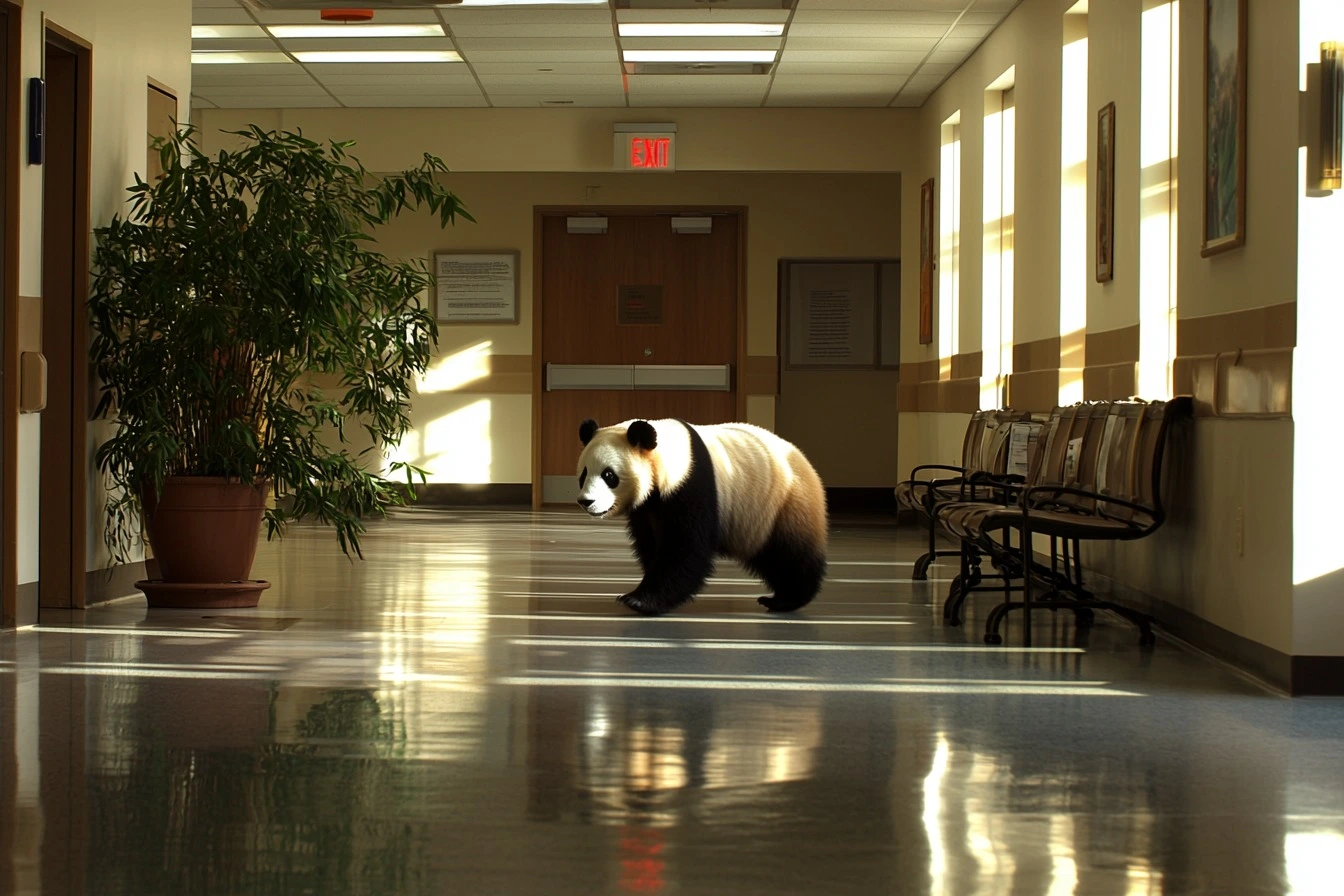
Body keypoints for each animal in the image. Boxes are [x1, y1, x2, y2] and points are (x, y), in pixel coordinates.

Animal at [575, 416, 828, 617]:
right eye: (583, 474)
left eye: (609, 475)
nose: (586, 501)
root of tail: (804, 460)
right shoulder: (648, 508)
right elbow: (652, 543)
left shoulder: (690, 484)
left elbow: (685, 548)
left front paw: (639, 600)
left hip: (783, 503)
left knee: (789, 554)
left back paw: (787, 599)